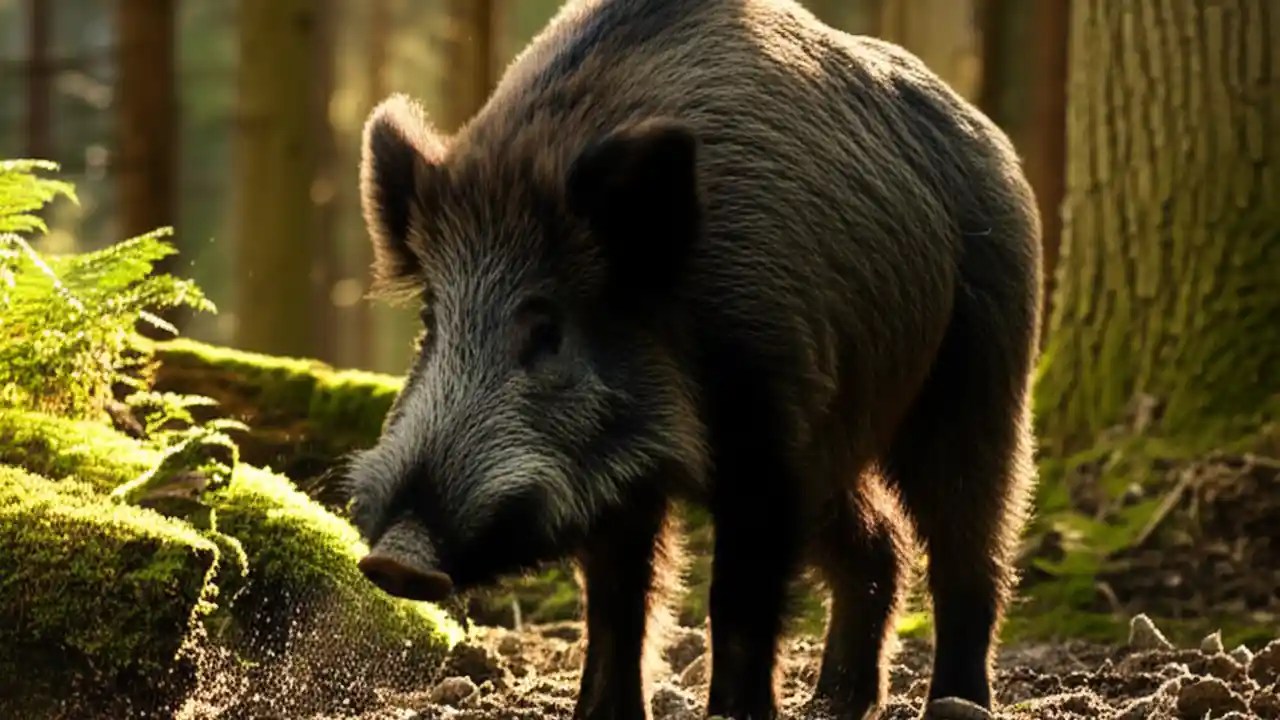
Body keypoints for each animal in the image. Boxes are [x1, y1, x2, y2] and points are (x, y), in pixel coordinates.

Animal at [345, 1, 1041, 719]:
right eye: (431, 318)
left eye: (547, 328)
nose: (394, 561)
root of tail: (993, 143)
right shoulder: (619, 476)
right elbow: (617, 596)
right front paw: (602, 716)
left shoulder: (772, 433)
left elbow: (737, 596)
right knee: (880, 548)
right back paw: (836, 702)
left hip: (982, 372)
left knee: (971, 543)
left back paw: (959, 700)